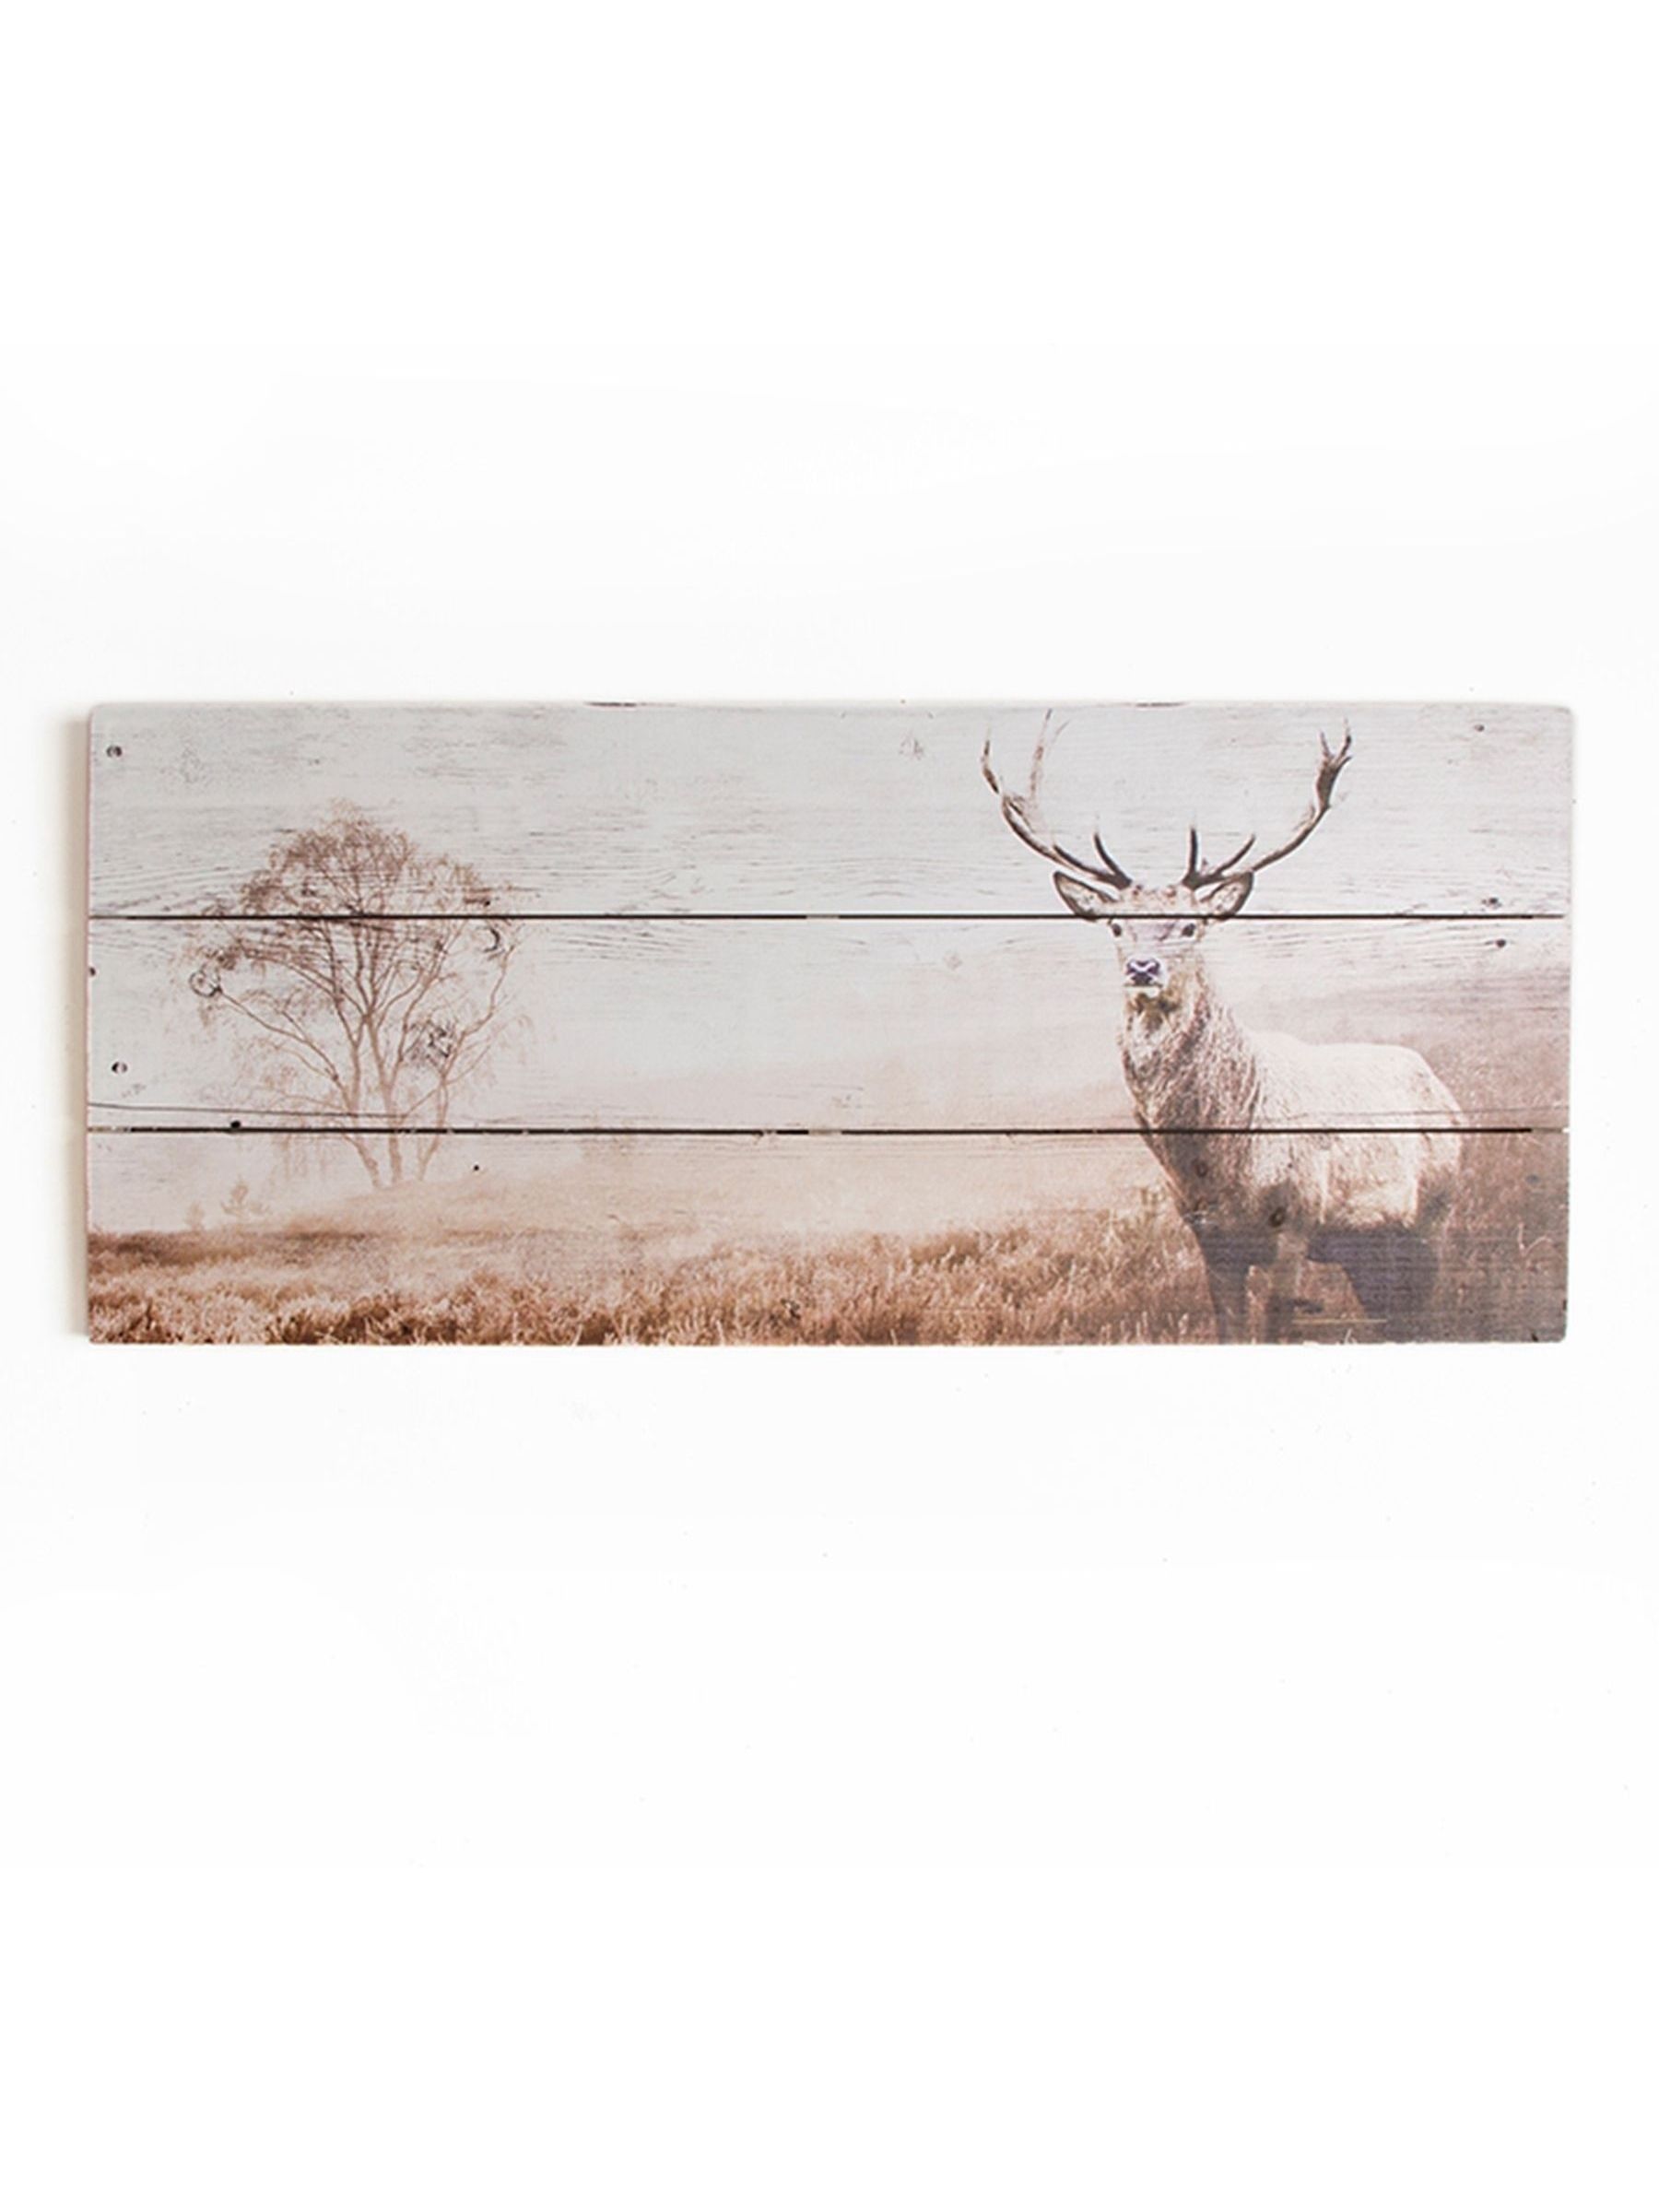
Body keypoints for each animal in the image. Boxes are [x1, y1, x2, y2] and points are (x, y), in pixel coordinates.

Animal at [983, 718, 1464, 1341]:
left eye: (1192, 924)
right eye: (1115, 925)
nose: (1144, 968)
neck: (1216, 1162)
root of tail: (1444, 1091)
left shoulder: (1296, 1220)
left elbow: (1277, 1325)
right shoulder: (1211, 1239)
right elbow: (1228, 1327)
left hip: (1433, 1213)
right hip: (1368, 1248)